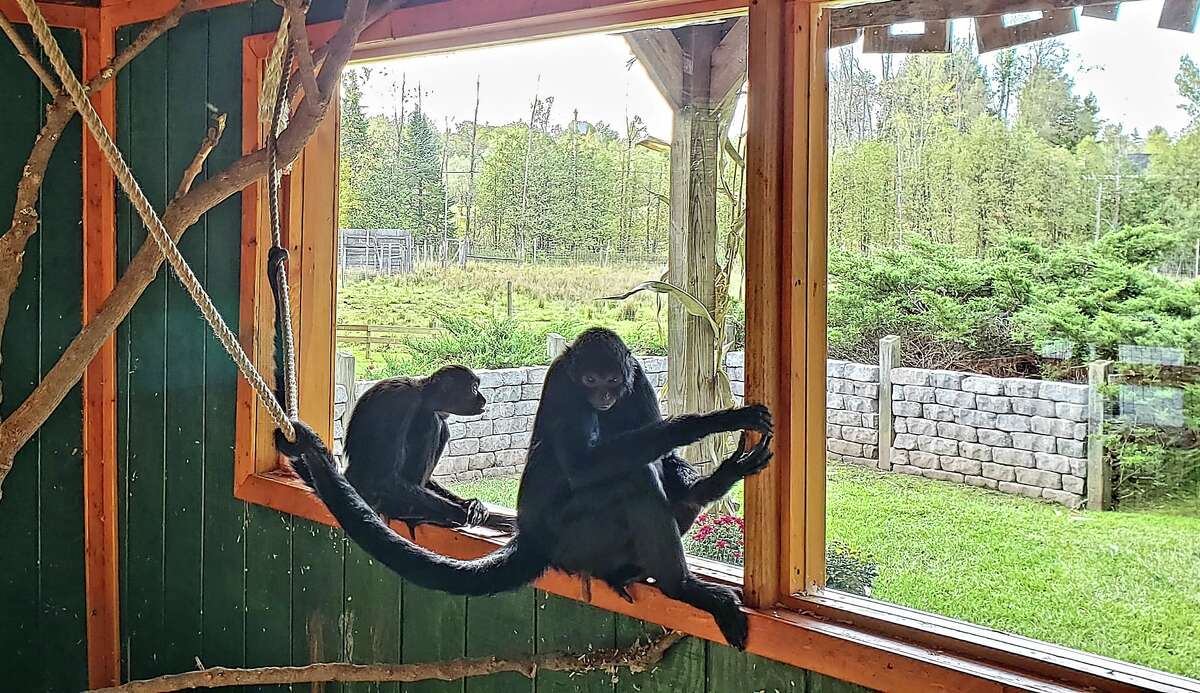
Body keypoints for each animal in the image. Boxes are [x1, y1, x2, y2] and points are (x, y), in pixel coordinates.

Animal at [344, 366, 518, 533]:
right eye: (474, 389)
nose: (483, 399)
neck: (421, 394)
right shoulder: (403, 402)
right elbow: (385, 479)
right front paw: (461, 512)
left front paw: (471, 504)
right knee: (434, 421)